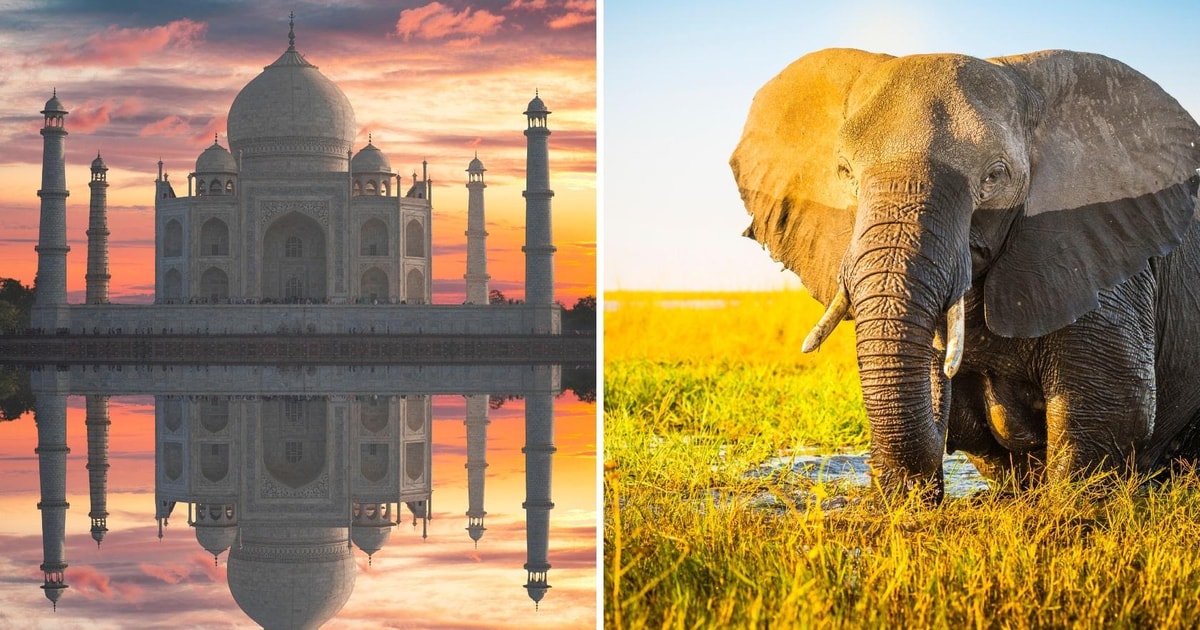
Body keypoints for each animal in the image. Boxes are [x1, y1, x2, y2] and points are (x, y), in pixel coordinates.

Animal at [730, 48, 1200, 502]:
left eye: (995, 175)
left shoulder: (1099, 248)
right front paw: (905, 505)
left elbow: (1112, 405)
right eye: (844, 172)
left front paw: (1068, 510)